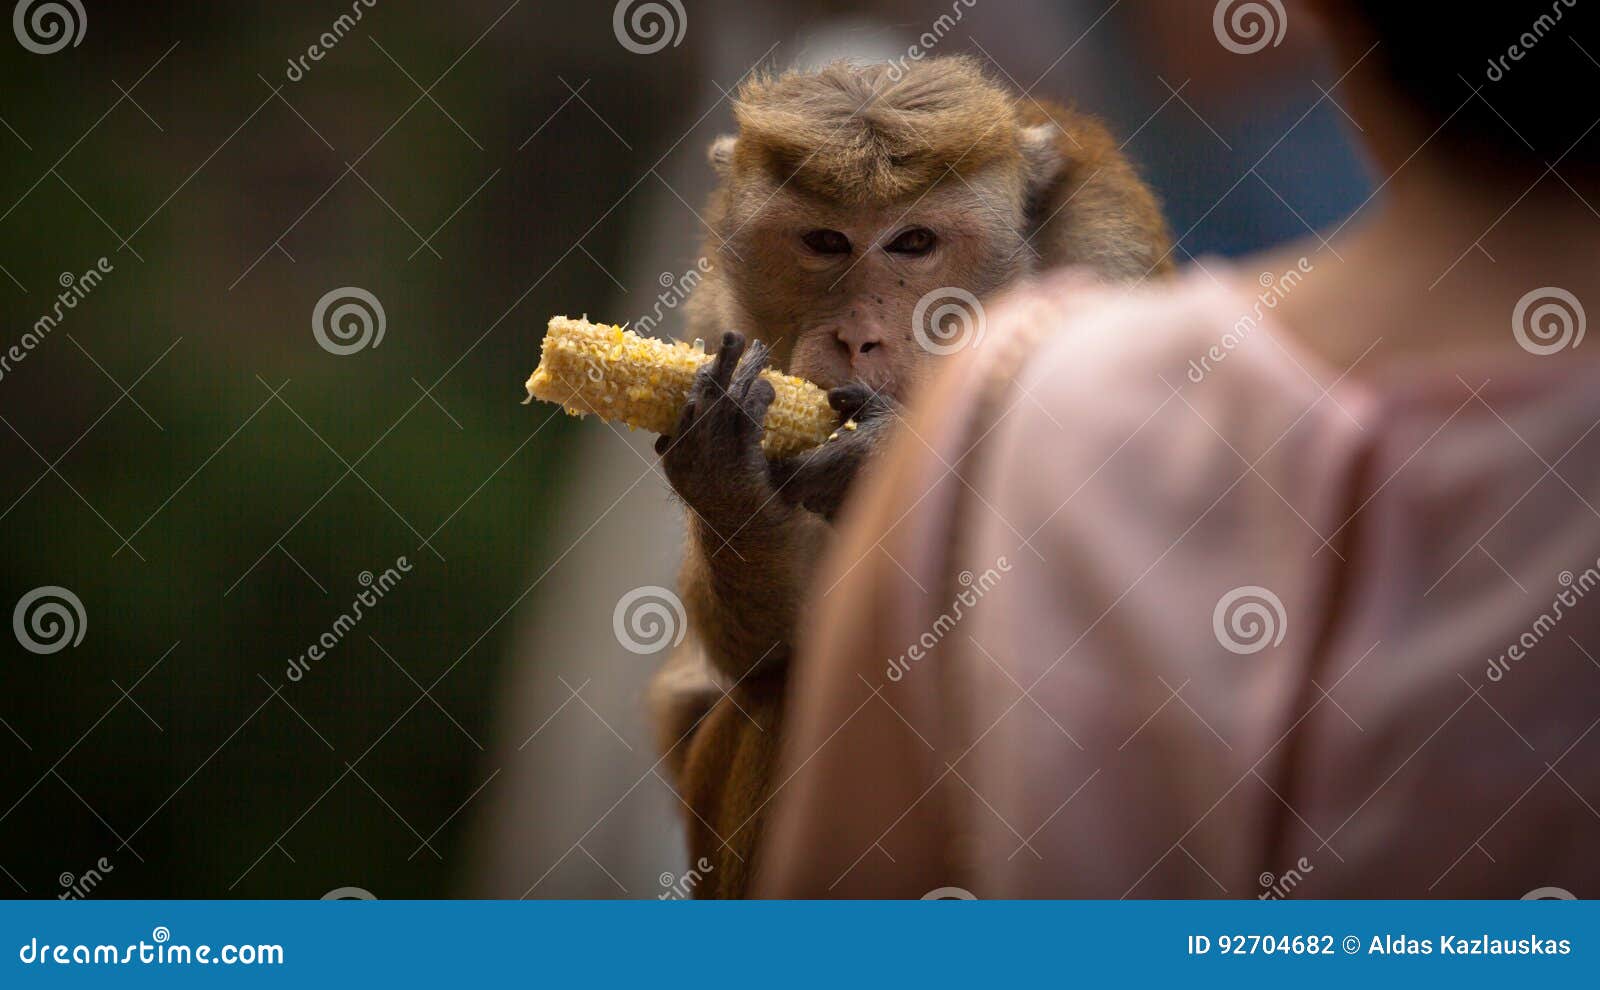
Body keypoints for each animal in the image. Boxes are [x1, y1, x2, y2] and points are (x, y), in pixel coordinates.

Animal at [646, 56, 1172, 897]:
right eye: (825, 241)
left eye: (915, 242)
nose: (857, 336)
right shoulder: (718, 326)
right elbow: (747, 666)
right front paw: (726, 479)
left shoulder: (1110, 261)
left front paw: (884, 454)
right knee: (779, 692)